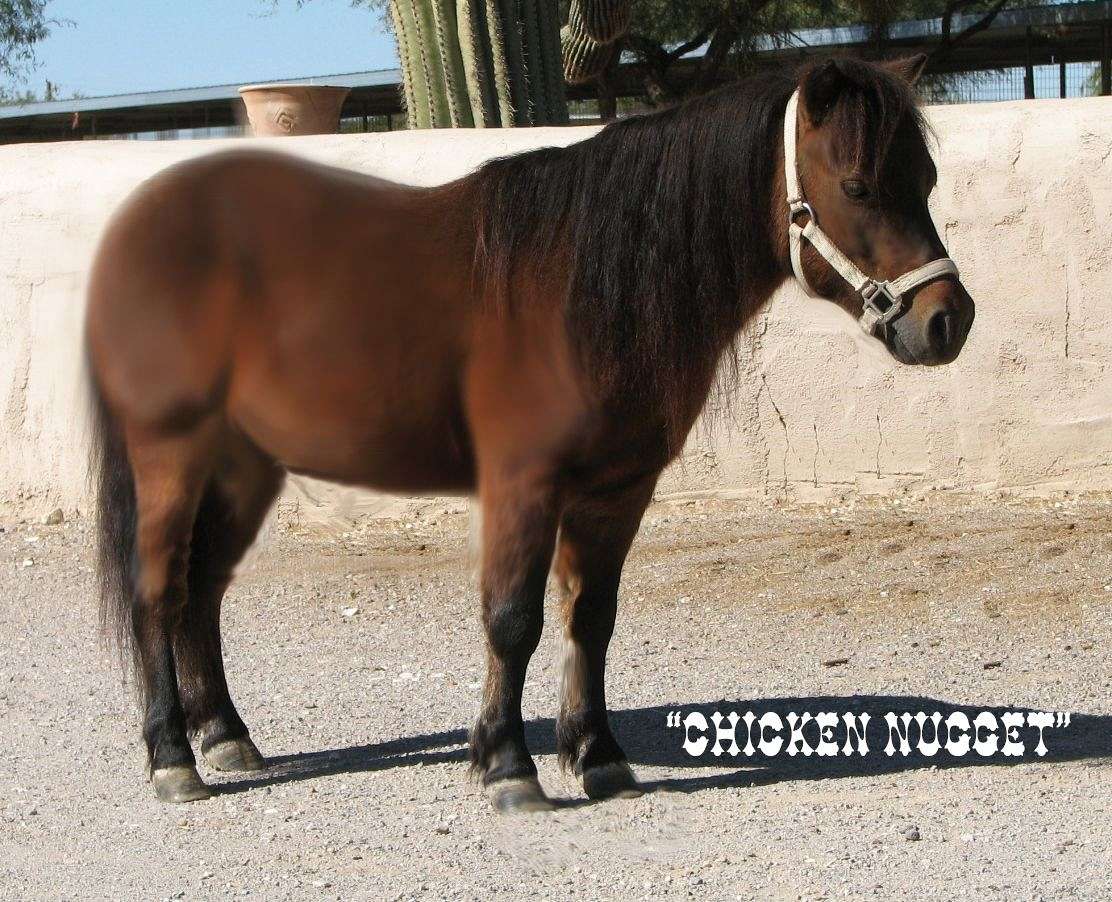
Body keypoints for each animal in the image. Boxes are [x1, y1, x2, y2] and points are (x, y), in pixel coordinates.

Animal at [86, 54, 974, 812]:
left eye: (926, 180)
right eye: (857, 185)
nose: (948, 321)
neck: (580, 288)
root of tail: (139, 226)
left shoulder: (618, 491)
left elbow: (592, 617)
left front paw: (598, 756)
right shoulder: (523, 484)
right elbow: (513, 619)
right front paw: (509, 766)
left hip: (245, 468)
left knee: (202, 590)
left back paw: (225, 736)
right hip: (171, 455)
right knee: (157, 590)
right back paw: (173, 758)